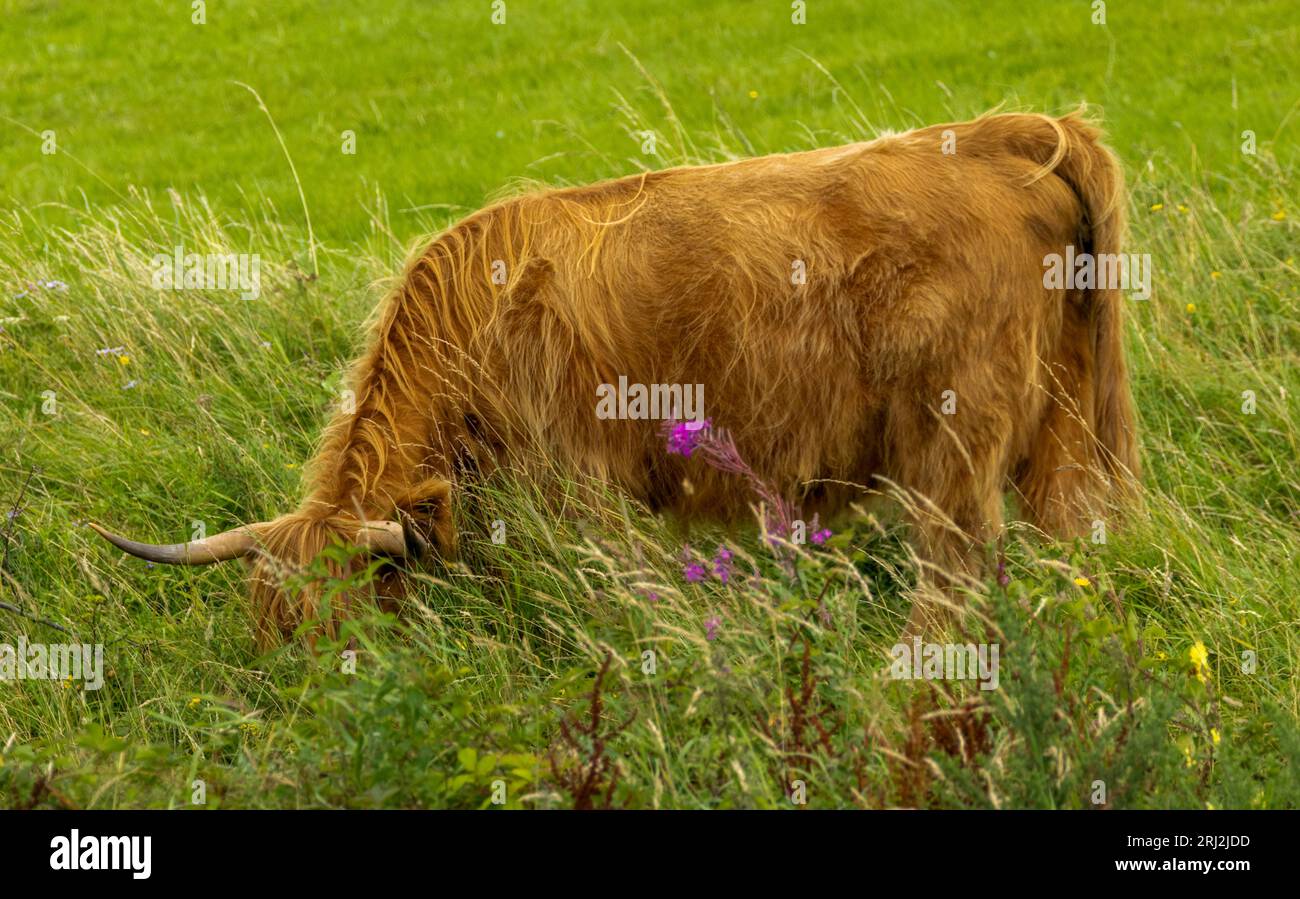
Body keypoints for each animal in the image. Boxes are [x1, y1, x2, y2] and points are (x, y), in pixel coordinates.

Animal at [91, 111, 1139, 646]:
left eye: (342, 624)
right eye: (268, 625)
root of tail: (1006, 129)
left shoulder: (585, 495)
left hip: (958, 441)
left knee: (960, 565)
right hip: (1062, 425)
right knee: (1070, 536)